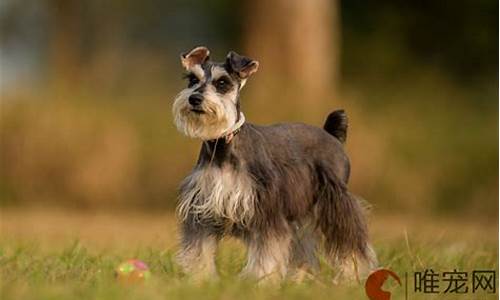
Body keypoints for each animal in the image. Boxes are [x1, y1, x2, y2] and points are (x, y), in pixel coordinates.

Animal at [172, 45, 376, 282]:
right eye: (192, 79)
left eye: (222, 83)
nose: (194, 98)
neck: (223, 145)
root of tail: (331, 135)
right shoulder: (202, 210)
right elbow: (199, 249)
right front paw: (200, 279)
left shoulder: (267, 212)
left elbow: (266, 250)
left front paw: (260, 278)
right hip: (302, 214)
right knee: (303, 246)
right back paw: (299, 278)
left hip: (336, 201)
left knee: (351, 241)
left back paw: (352, 275)